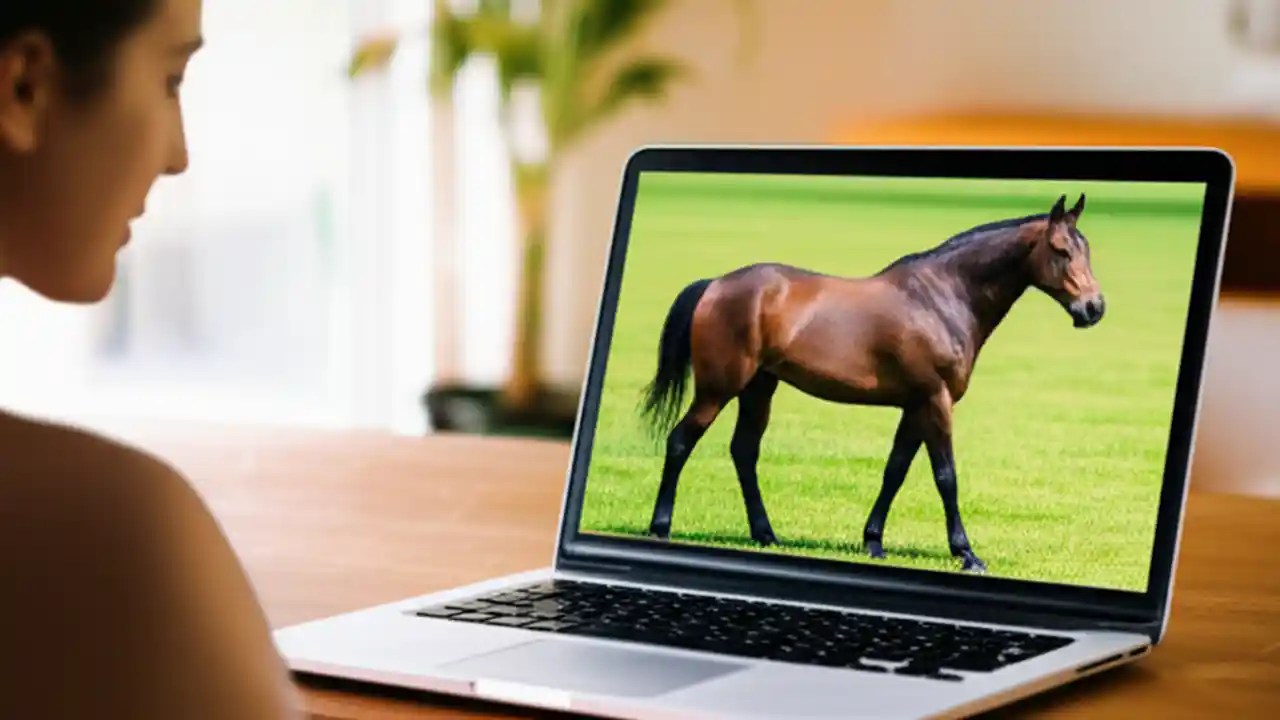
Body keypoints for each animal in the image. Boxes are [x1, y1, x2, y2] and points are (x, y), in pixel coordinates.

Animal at [638, 194, 1103, 573]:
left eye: (1086, 249)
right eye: (1061, 250)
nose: (1094, 308)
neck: (940, 299)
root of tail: (714, 284)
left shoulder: (915, 406)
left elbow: (894, 471)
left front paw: (873, 542)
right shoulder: (935, 401)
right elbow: (945, 475)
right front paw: (966, 553)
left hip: (759, 388)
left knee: (743, 451)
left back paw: (766, 535)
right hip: (718, 389)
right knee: (681, 441)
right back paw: (661, 527)